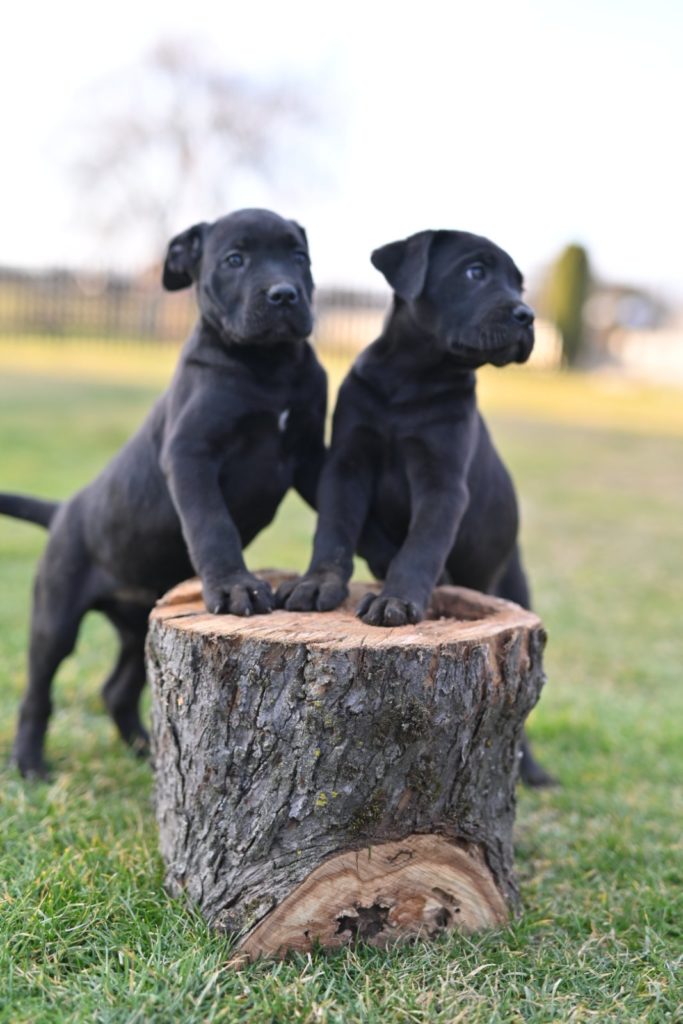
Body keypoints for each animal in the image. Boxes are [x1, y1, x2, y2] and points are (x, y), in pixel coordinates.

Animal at [0, 209, 325, 782]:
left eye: (299, 256)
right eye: (234, 259)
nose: (284, 294)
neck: (270, 366)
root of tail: (61, 511)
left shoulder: (310, 455)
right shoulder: (191, 455)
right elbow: (212, 524)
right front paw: (236, 587)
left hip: (137, 627)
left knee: (116, 689)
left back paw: (146, 751)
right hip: (55, 615)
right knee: (38, 690)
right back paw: (31, 764)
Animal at [280, 228, 552, 786]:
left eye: (519, 283)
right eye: (475, 272)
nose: (527, 315)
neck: (412, 376)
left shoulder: (443, 484)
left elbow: (421, 546)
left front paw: (397, 600)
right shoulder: (346, 465)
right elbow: (335, 531)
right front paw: (318, 584)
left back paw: (532, 770)